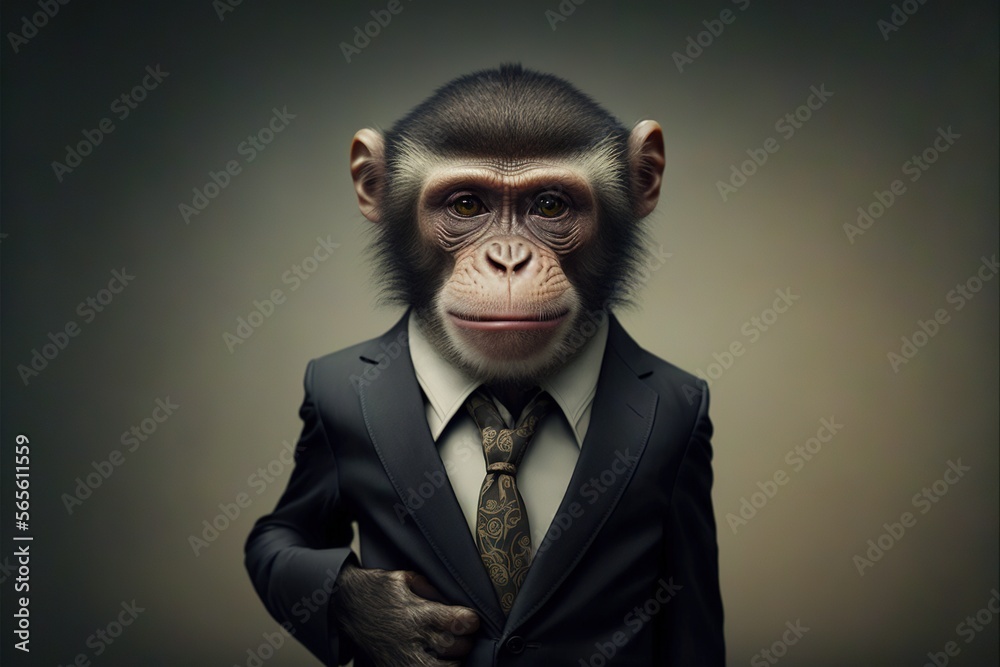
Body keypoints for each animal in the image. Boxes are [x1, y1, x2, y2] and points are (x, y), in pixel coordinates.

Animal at [245, 64, 724, 667]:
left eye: (550, 206)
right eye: (467, 206)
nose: (508, 259)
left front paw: (391, 620)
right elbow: (279, 533)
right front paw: (389, 618)